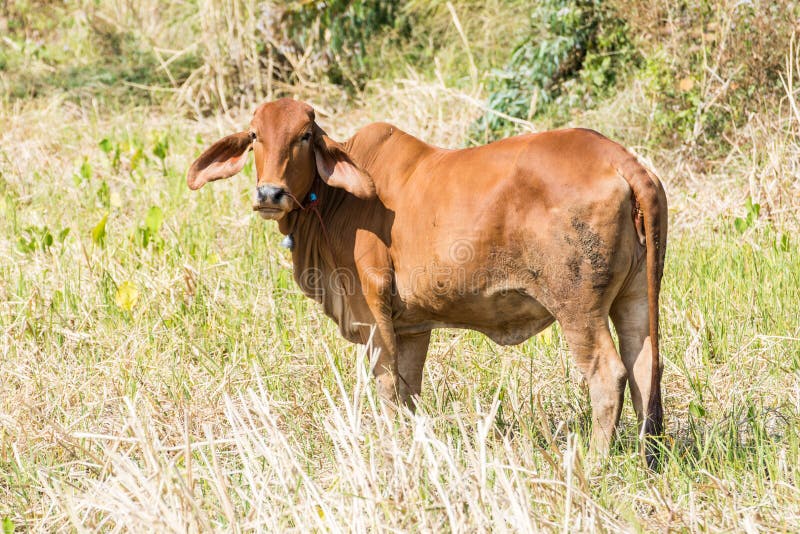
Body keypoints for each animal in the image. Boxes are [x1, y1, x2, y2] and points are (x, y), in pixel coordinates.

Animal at [187, 98, 668, 466]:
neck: (336, 201)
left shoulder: (373, 314)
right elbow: (409, 389)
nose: (269, 194)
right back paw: (649, 460)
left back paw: (596, 462)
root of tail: (620, 159)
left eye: (304, 135)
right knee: (646, 366)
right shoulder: (412, 327)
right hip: (635, 299)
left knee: (608, 374)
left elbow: (386, 387)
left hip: (577, 306)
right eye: (254, 135)